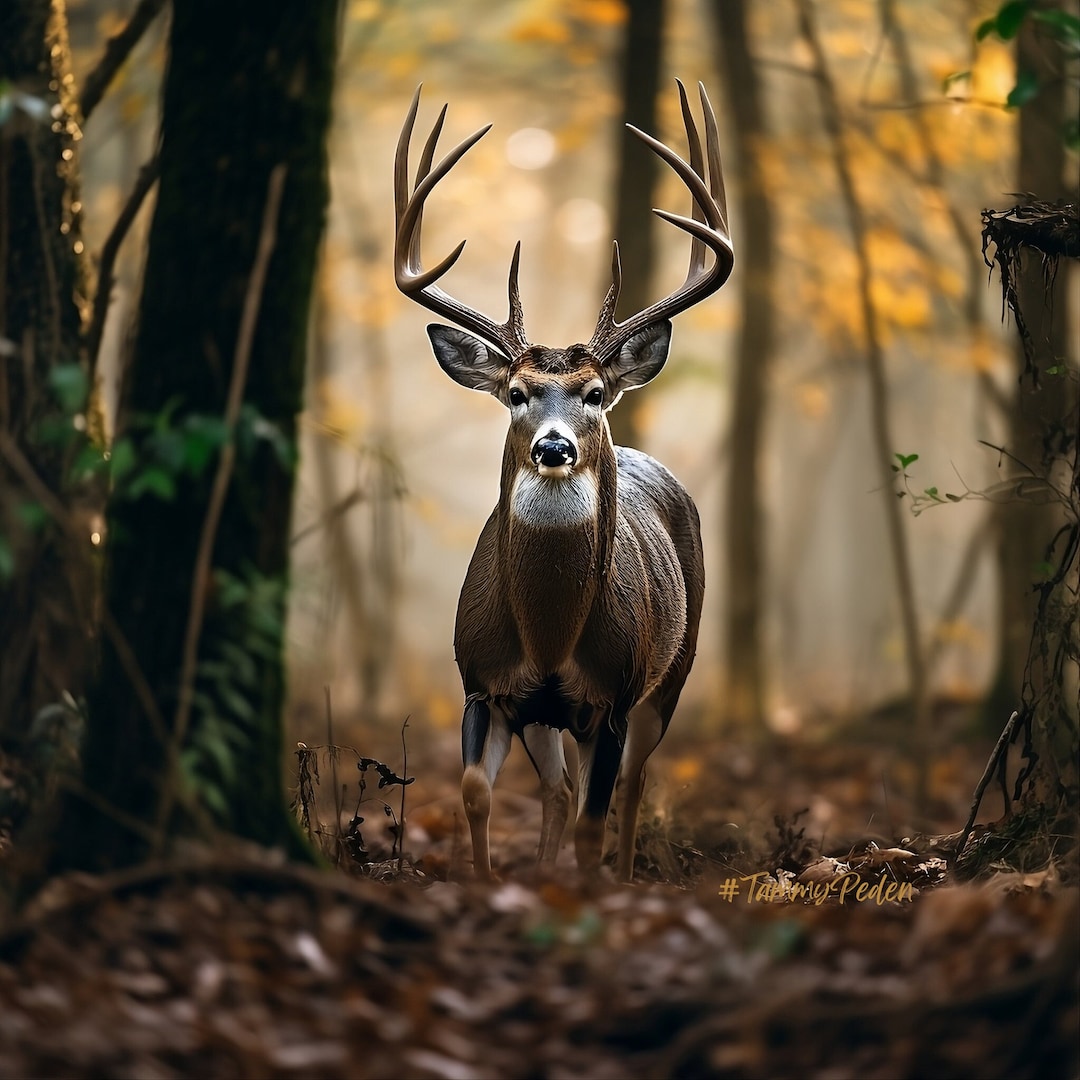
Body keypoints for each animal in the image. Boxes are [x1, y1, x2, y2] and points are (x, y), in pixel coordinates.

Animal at [394, 80, 733, 882]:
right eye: (516, 392)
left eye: (595, 392)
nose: (554, 446)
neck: (549, 639)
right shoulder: (483, 684)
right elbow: (475, 791)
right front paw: (487, 883)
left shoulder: (610, 697)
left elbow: (593, 820)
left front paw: (584, 891)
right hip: (546, 719)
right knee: (560, 786)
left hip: (673, 669)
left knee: (632, 782)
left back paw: (626, 873)